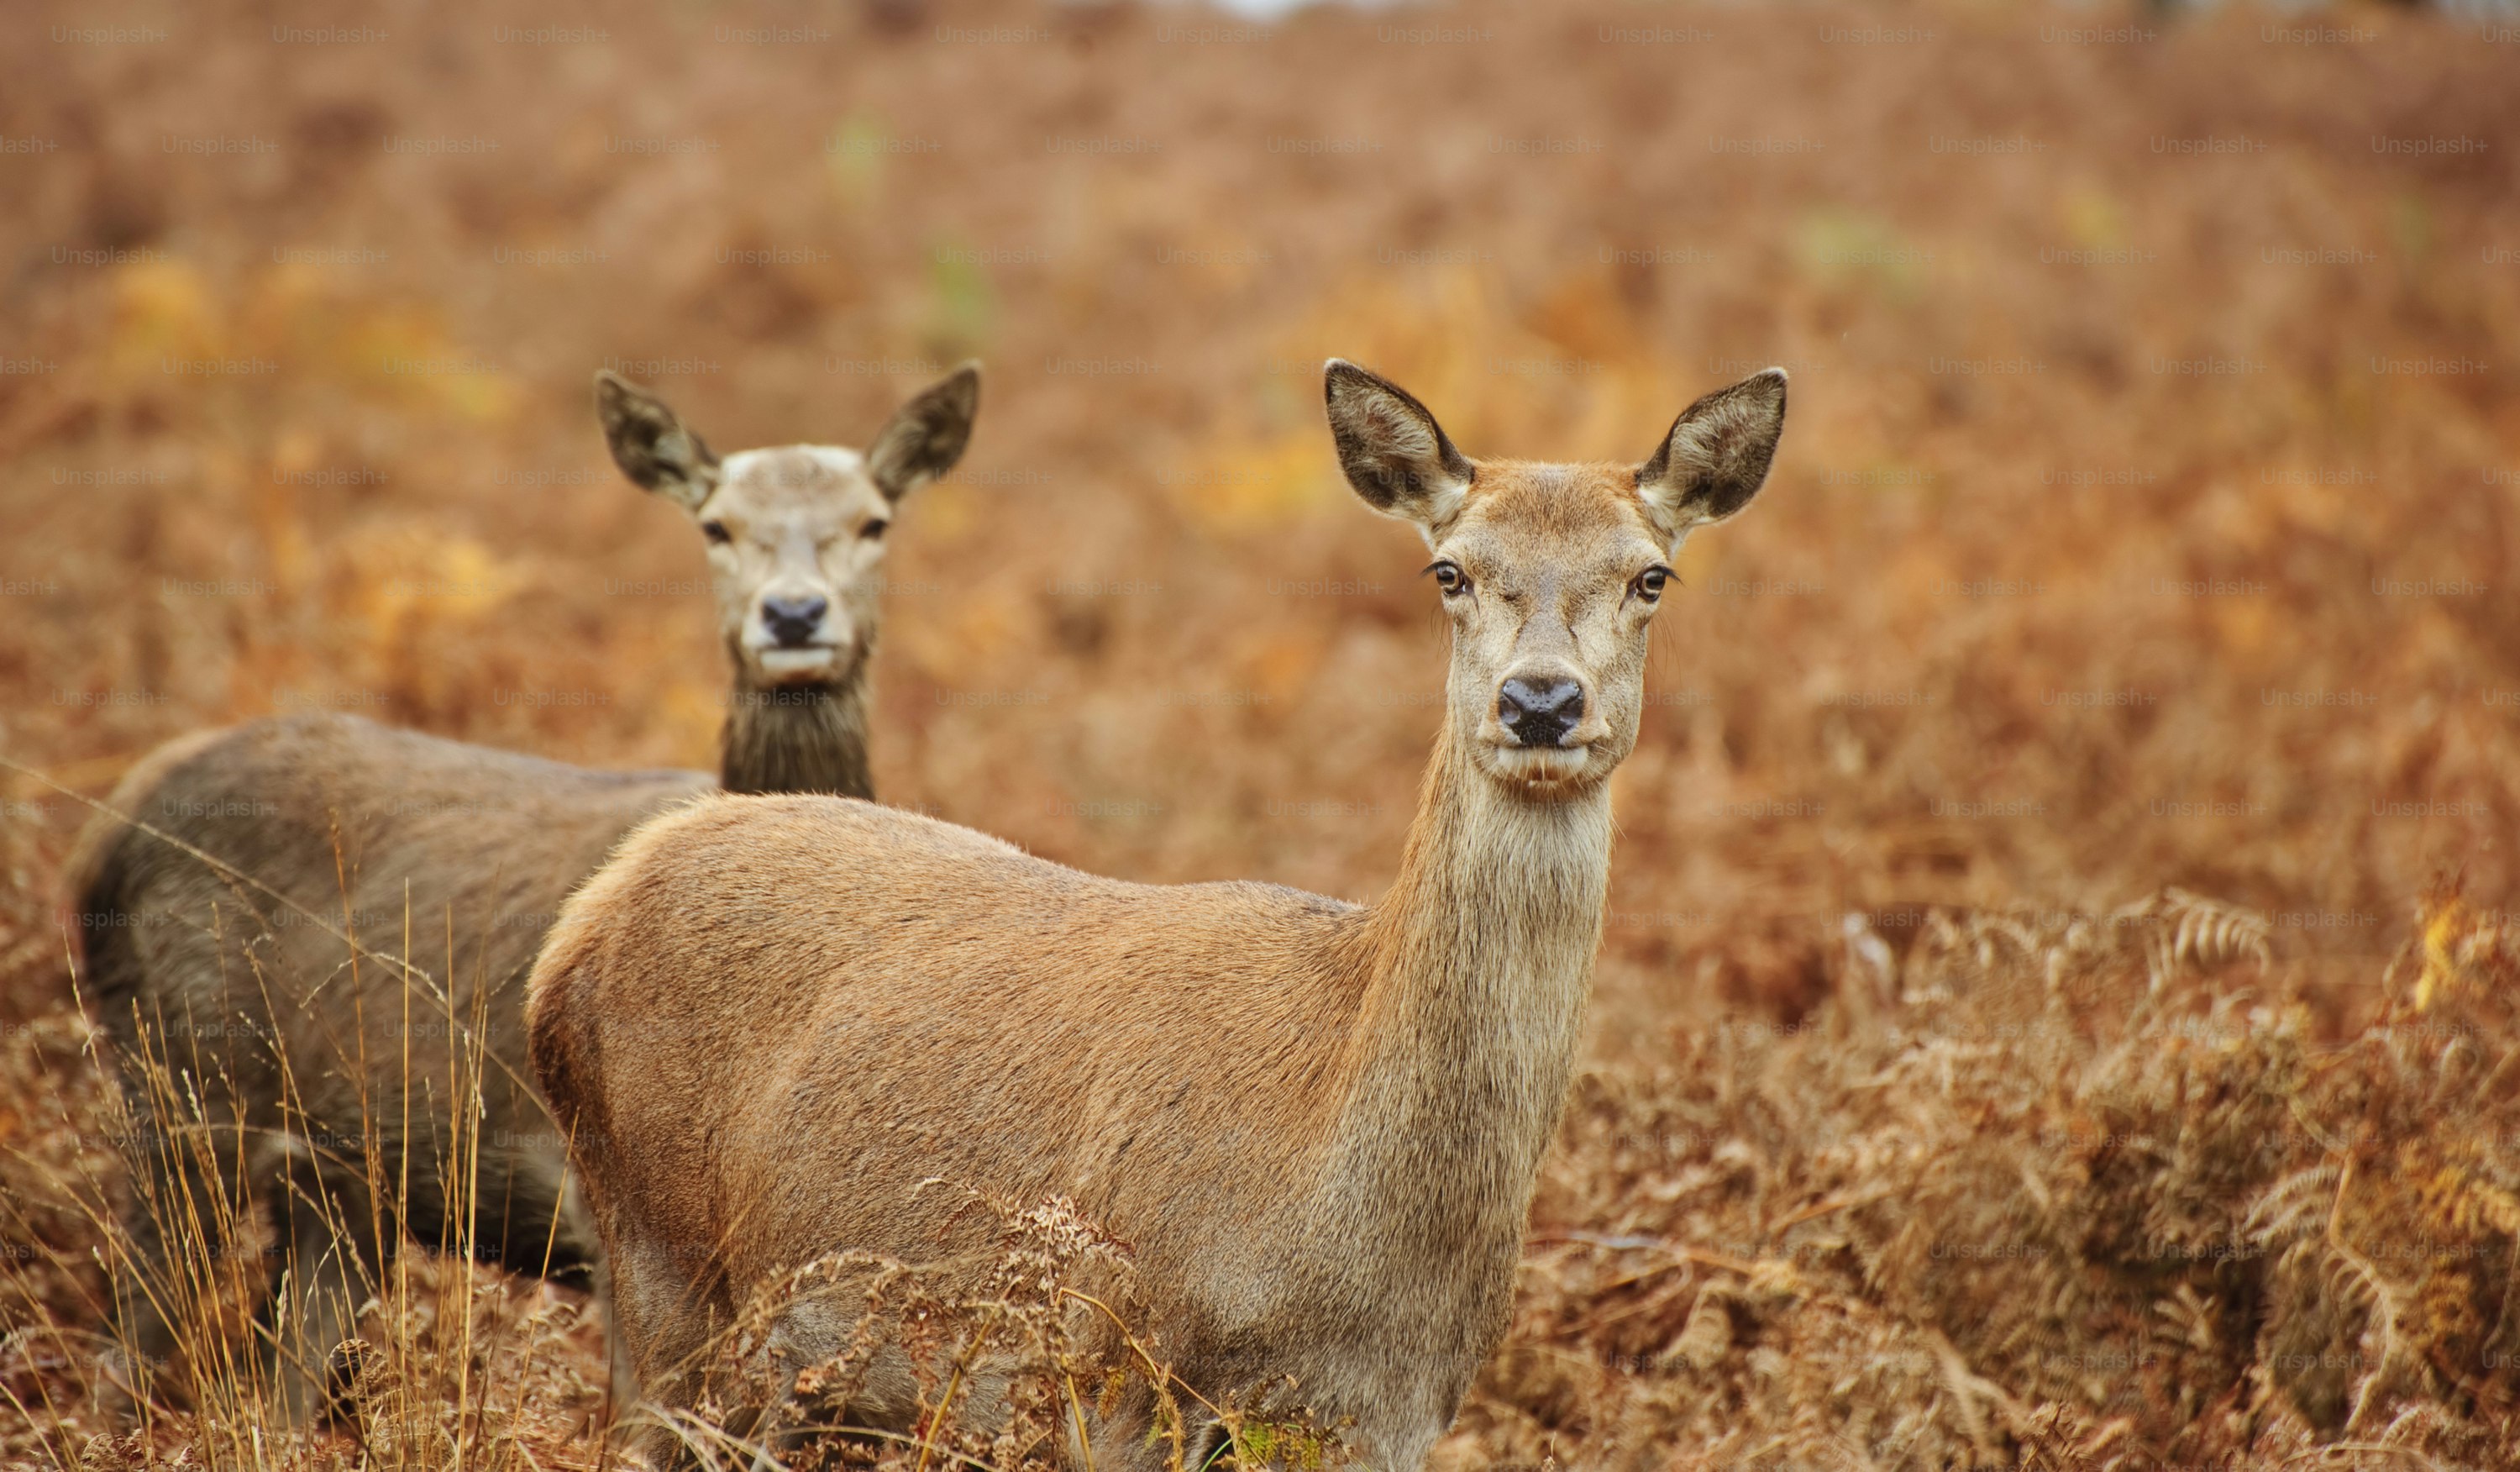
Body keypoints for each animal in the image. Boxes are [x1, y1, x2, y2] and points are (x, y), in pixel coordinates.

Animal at [66, 362, 980, 1421]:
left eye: (875, 519)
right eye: (716, 525)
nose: (794, 615)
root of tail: (108, 823)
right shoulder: (598, 1206)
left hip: (335, 1188)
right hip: (173, 1086)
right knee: (129, 1347)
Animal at [524, 358, 1788, 1468]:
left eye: (1651, 576)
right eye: (1449, 571)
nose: (1539, 702)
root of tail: (581, 926)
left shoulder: (1395, 1415)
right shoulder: (1113, 1374)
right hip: (658, 1263)